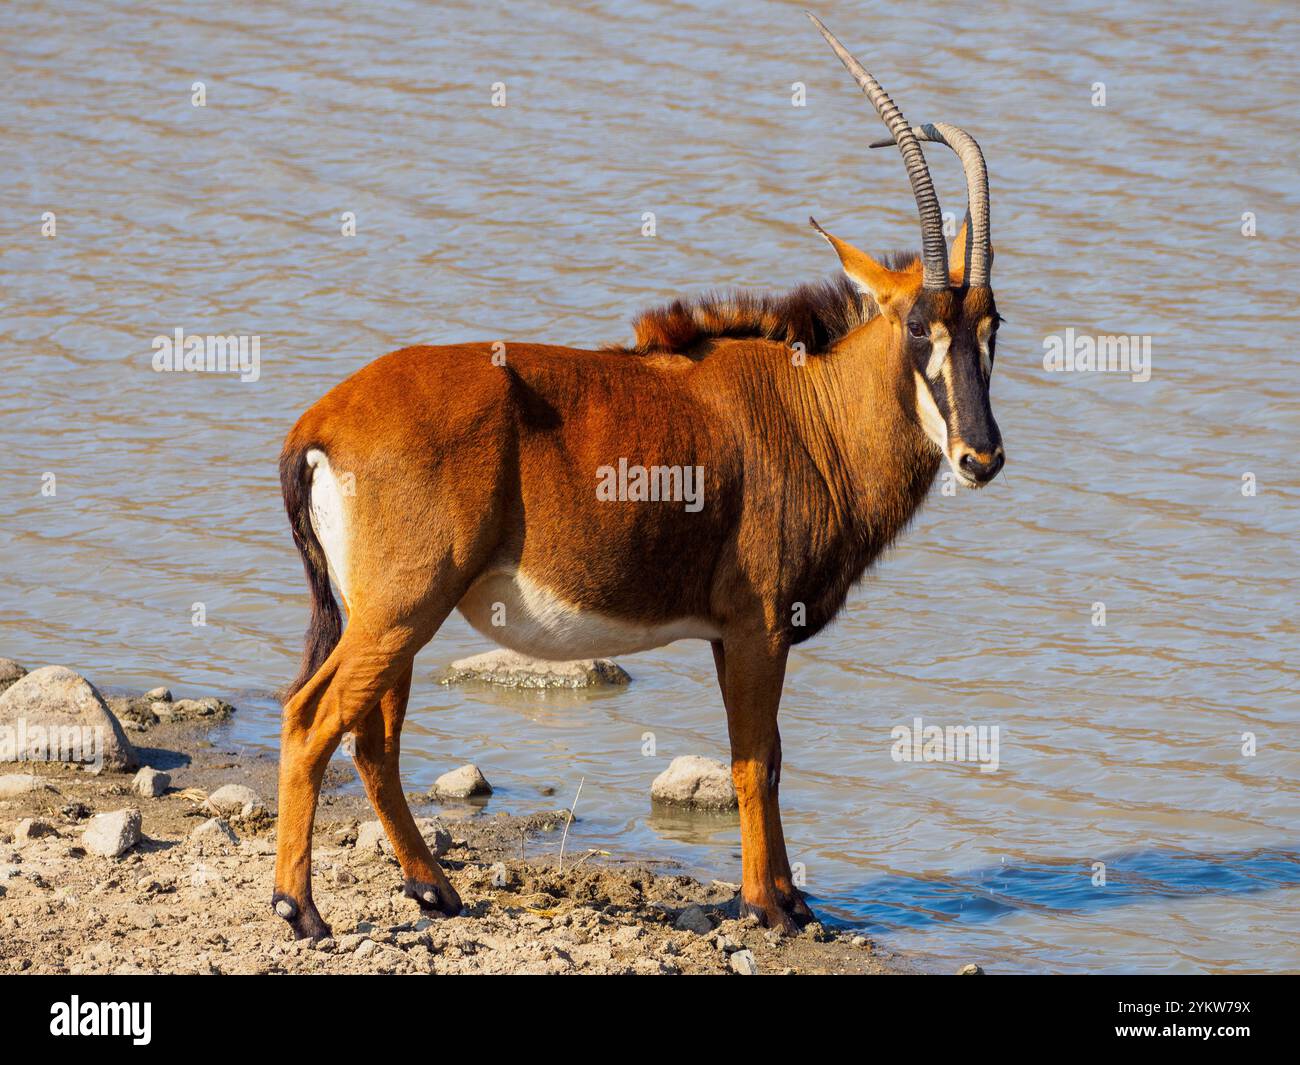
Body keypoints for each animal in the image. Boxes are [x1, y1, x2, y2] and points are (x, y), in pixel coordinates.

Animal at [272, 13, 1005, 939]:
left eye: (993, 324)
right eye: (917, 326)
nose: (982, 456)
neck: (810, 404)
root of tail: (321, 421)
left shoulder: (734, 634)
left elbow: (766, 757)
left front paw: (792, 896)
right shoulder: (760, 624)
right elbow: (753, 760)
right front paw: (769, 905)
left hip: (387, 613)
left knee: (372, 736)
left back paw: (433, 887)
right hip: (404, 606)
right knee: (312, 719)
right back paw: (301, 908)